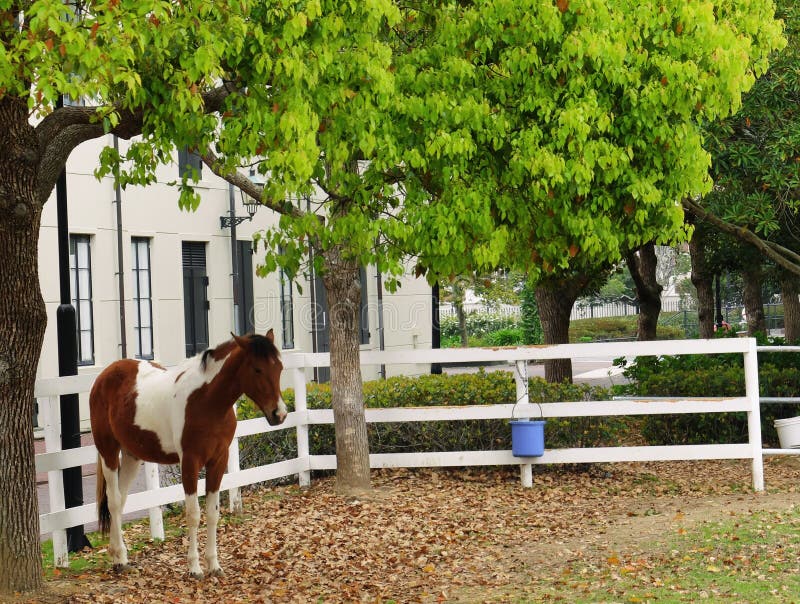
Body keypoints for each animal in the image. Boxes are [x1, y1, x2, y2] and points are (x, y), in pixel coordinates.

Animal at [89, 330, 287, 578]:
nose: (279, 414)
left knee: (122, 499)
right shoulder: (190, 463)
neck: (206, 401)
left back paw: (119, 557)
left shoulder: (218, 461)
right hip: (108, 451)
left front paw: (214, 565)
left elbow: (212, 513)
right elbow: (193, 514)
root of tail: (104, 375)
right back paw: (120, 557)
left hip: (132, 455)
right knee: (114, 501)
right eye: (258, 369)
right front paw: (194, 567)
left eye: (279, 368)